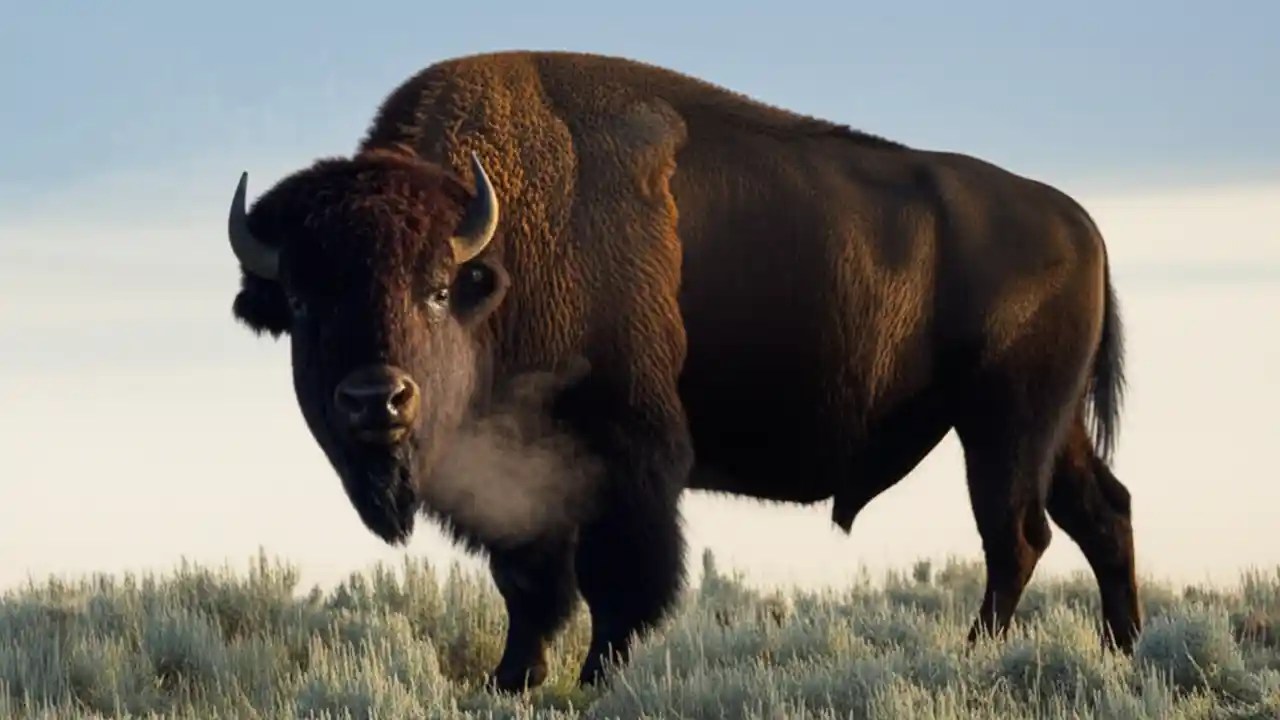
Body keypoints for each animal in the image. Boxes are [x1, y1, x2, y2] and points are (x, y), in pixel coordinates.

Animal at [225, 50, 1140, 691]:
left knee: (1015, 534)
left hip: (1003, 423)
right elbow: (528, 582)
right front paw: (510, 679)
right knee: (1101, 513)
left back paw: (976, 656)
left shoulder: (622, 457)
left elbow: (617, 579)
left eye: (439, 288)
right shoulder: (517, 476)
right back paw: (1123, 651)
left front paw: (597, 677)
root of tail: (1080, 222)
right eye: (301, 300)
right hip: (1050, 429)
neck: (504, 253)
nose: (375, 400)